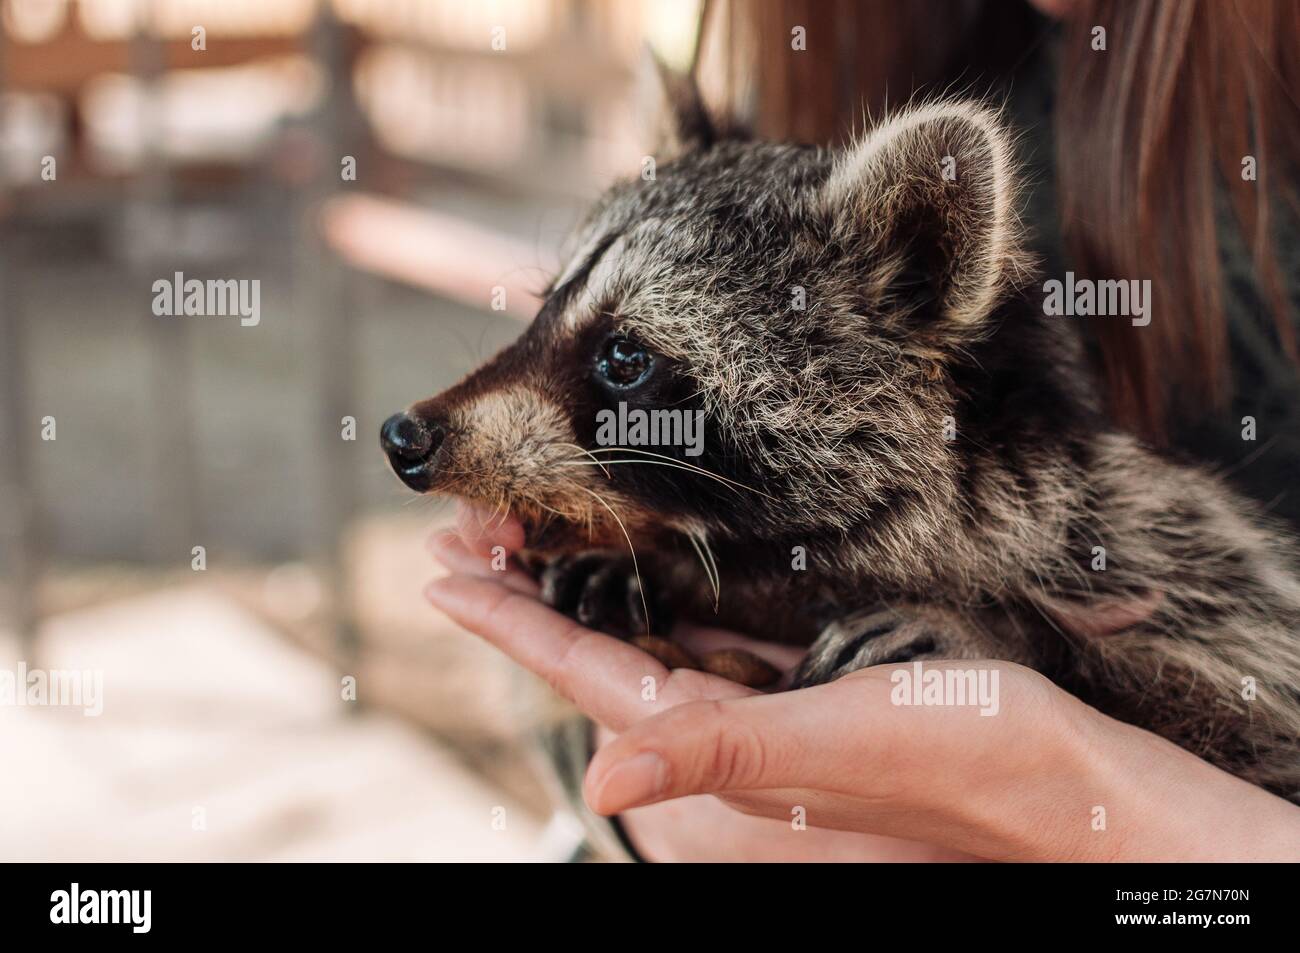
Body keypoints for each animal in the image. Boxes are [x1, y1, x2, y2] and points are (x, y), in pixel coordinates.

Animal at [382, 80, 1300, 801]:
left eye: (624, 355)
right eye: (545, 305)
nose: (406, 434)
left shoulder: (1160, 542)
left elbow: (1249, 715)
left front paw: (1015, 636)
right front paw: (643, 567)